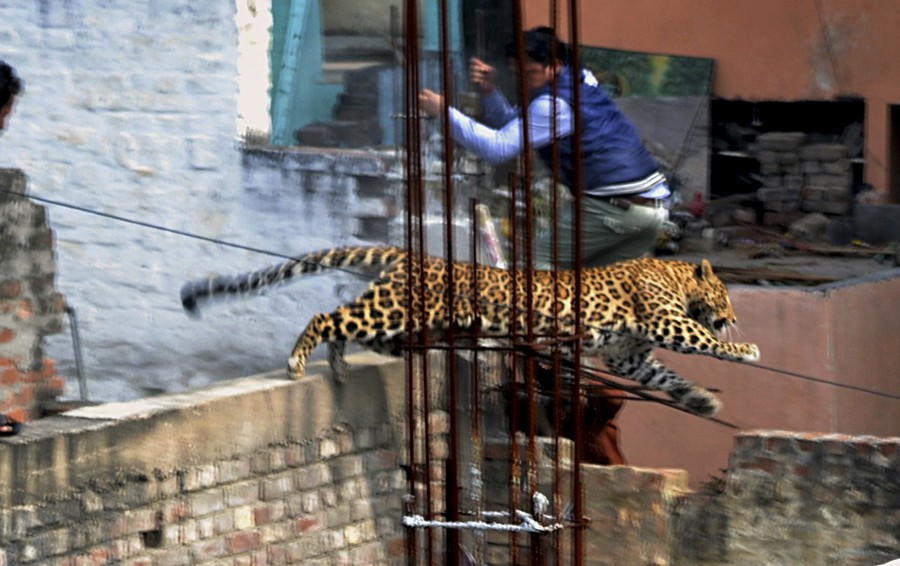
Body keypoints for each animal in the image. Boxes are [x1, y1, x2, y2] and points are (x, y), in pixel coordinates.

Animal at [180, 245, 759, 417]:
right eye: (728, 298)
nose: (735, 315)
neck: (676, 275)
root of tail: (409, 254)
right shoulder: (666, 320)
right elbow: (707, 343)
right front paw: (746, 347)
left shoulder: (627, 356)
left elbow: (665, 376)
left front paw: (701, 400)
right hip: (395, 311)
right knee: (327, 316)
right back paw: (299, 361)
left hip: (394, 322)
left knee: (344, 318)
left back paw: (339, 366)